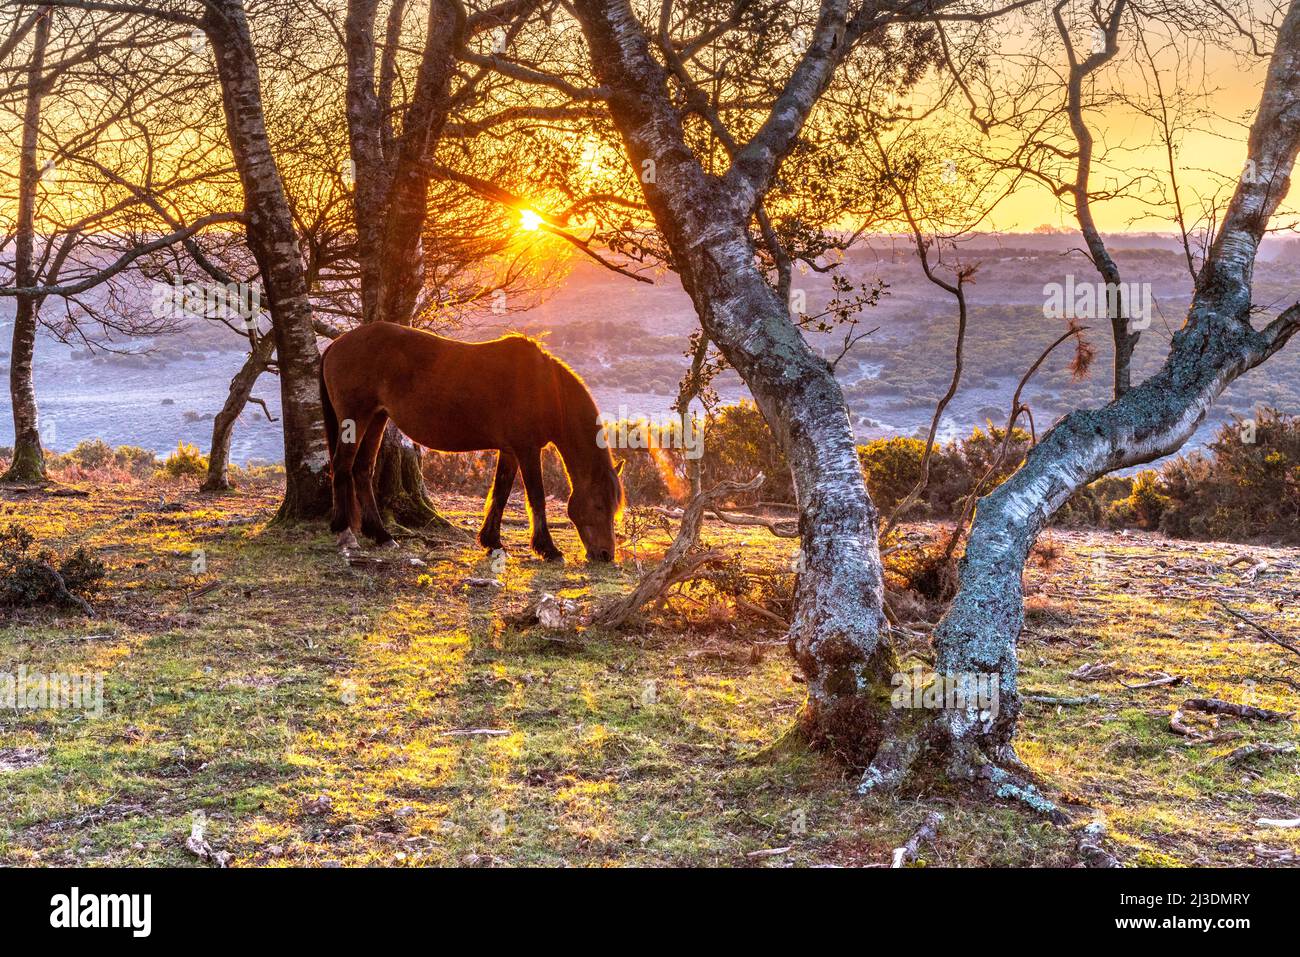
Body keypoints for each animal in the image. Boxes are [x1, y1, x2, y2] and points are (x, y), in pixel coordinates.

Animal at [318, 322, 624, 563]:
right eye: (599, 505)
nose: (606, 555)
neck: (544, 386)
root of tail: (337, 343)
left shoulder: (510, 450)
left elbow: (500, 493)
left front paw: (492, 541)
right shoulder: (527, 450)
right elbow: (536, 497)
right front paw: (548, 549)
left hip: (377, 418)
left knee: (362, 470)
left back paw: (381, 535)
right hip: (355, 418)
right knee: (342, 467)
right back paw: (345, 532)